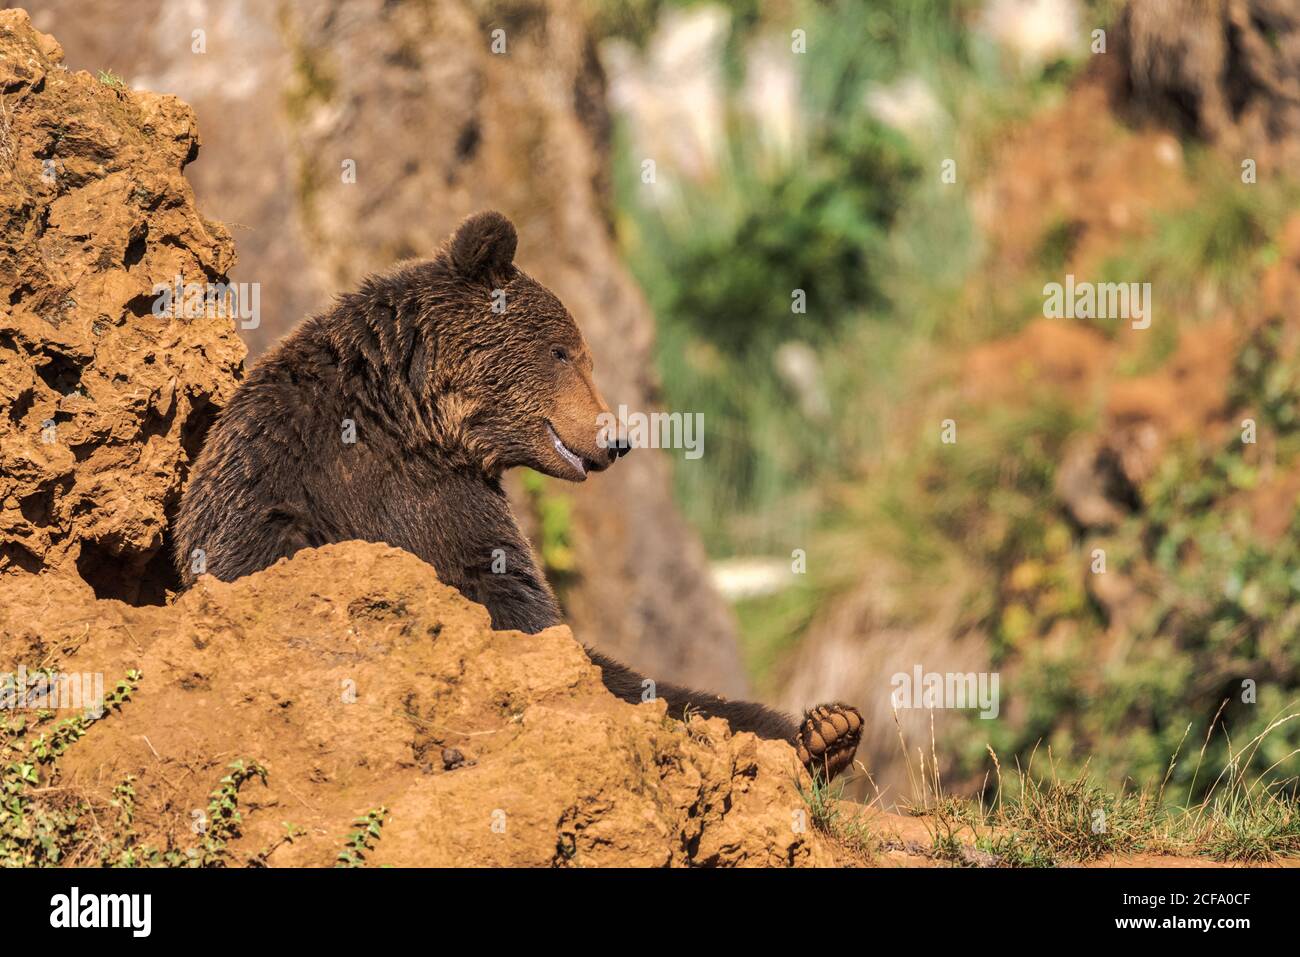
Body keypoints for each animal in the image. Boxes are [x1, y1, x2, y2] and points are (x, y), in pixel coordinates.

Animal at [174, 211, 862, 781]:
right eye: (563, 352)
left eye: (581, 354)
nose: (616, 439)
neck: (410, 422)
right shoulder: (281, 460)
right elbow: (257, 558)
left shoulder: (460, 503)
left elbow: (522, 607)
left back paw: (827, 732)